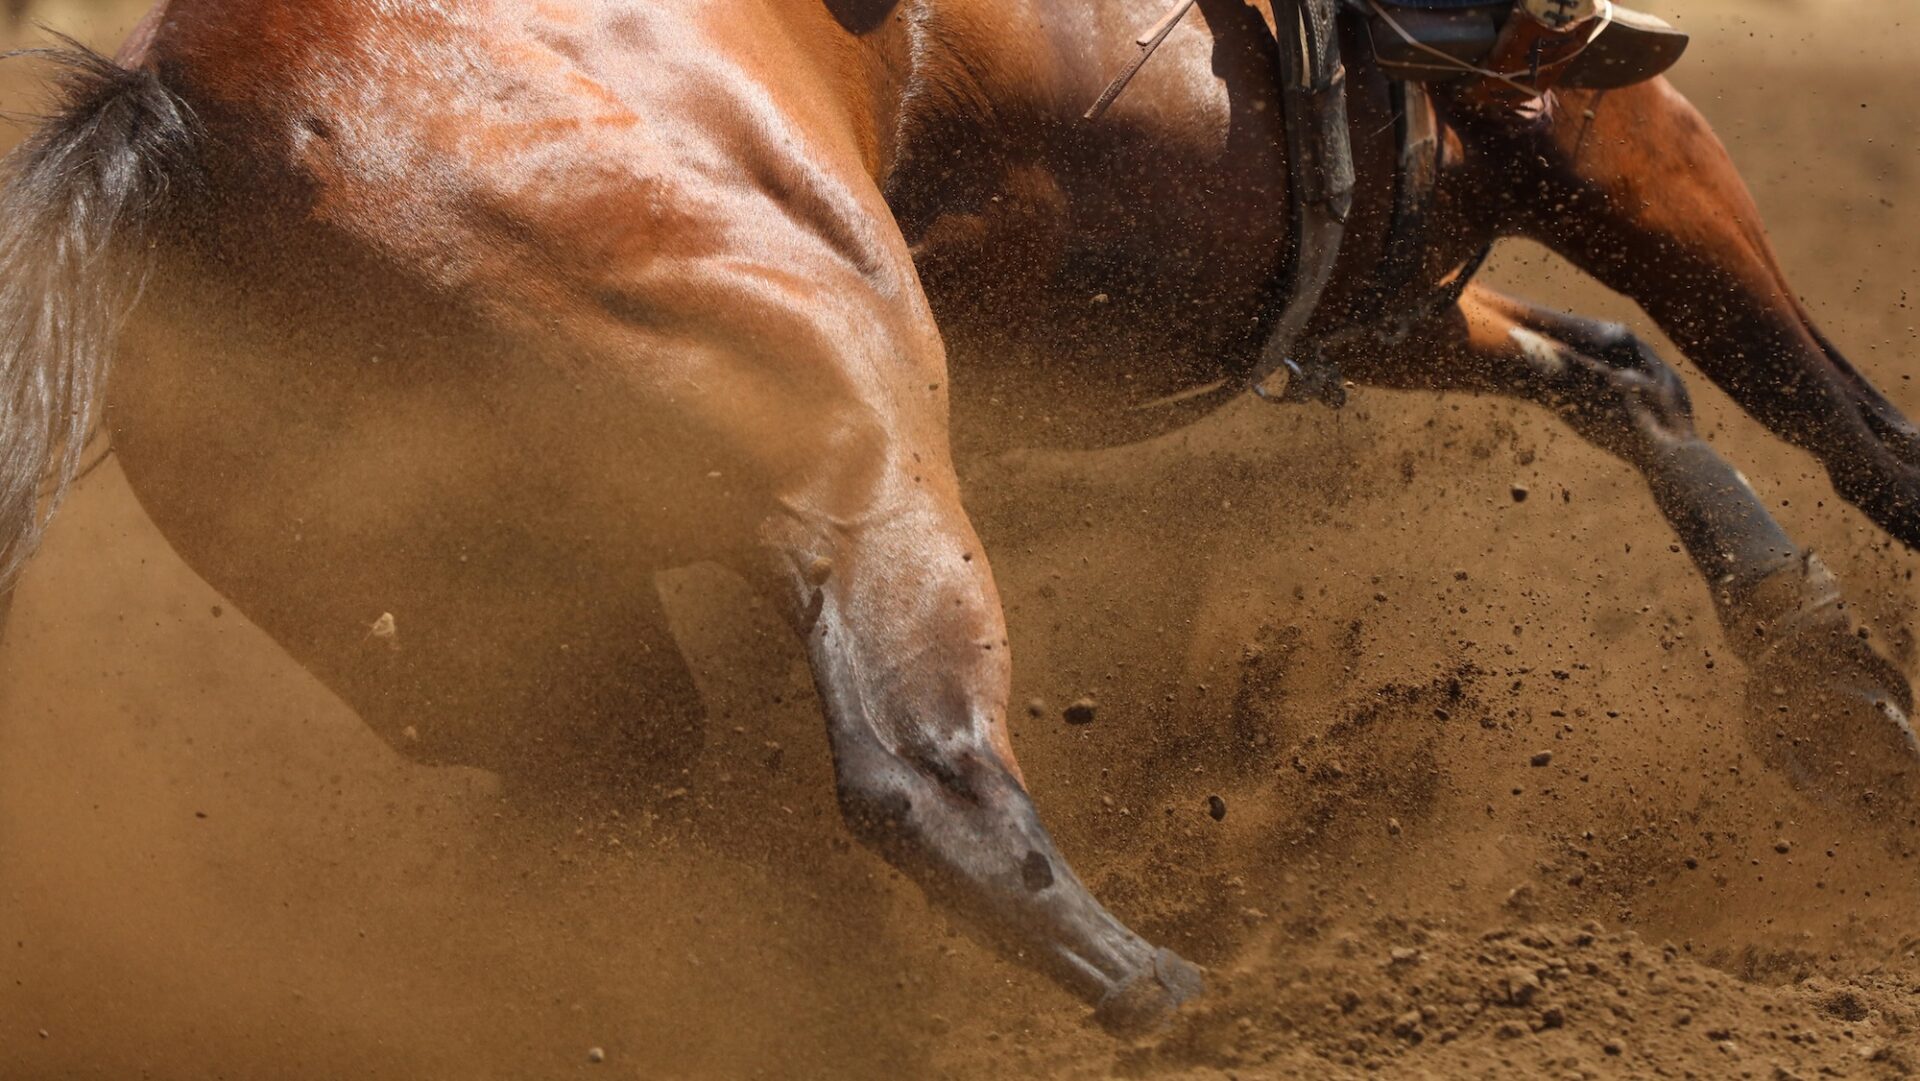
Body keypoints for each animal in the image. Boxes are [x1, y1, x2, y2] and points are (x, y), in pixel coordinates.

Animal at [3, 0, 1916, 1034]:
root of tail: (187, 124)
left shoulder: (1349, 272)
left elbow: (1627, 376)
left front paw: (1828, 684)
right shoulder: (1608, 126)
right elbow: (1829, 402)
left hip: (500, 638)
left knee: (641, 818)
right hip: (859, 437)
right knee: (914, 772)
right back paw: (1177, 1002)